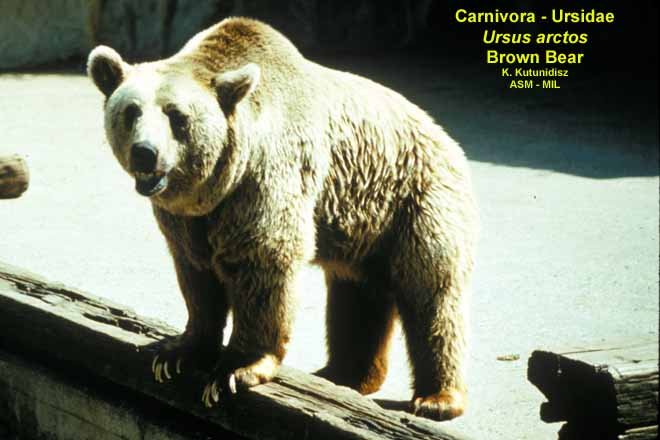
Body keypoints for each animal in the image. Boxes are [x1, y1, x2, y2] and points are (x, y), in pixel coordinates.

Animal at [87, 17, 478, 421]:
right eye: (131, 112)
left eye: (177, 116)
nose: (145, 153)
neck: (217, 187)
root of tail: (446, 139)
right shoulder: (186, 221)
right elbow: (196, 276)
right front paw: (176, 353)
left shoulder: (265, 179)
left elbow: (264, 263)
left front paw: (234, 371)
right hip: (364, 228)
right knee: (356, 294)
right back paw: (342, 374)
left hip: (415, 201)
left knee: (430, 292)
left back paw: (436, 398)